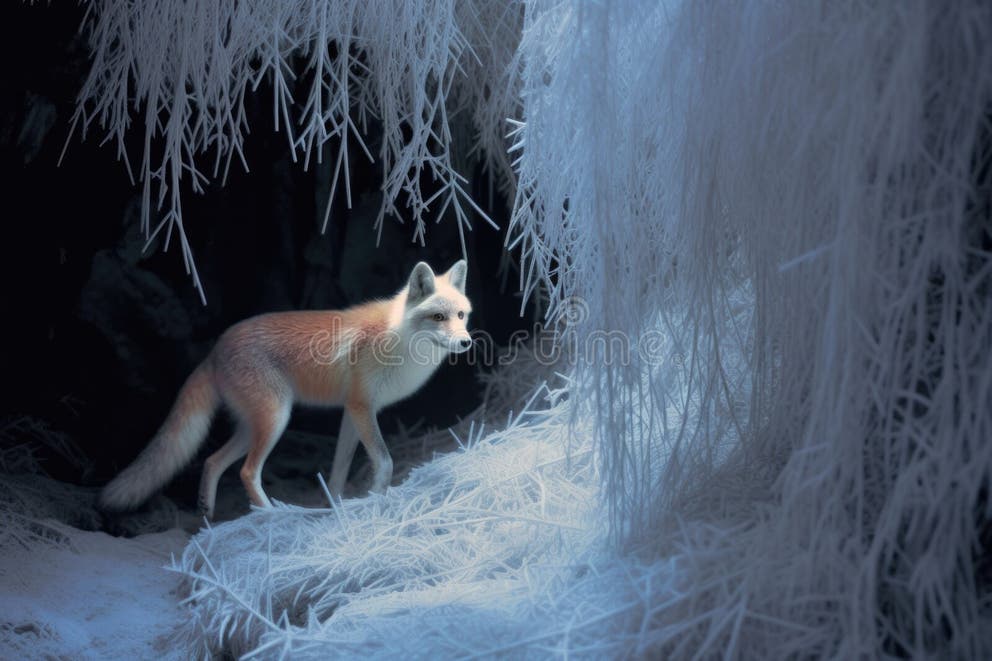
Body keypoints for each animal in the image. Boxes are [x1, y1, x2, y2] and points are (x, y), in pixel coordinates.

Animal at [98, 260, 472, 519]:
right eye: (438, 317)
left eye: (461, 315)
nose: (467, 342)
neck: (396, 338)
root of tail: (216, 348)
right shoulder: (362, 408)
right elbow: (385, 462)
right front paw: (375, 501)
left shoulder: (353, 412)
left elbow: (338, 473)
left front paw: (335, 507)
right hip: (276, 419)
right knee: (247, 471)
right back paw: (270, 515)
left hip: (252, 427)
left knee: (212, 461)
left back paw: (207, 517)